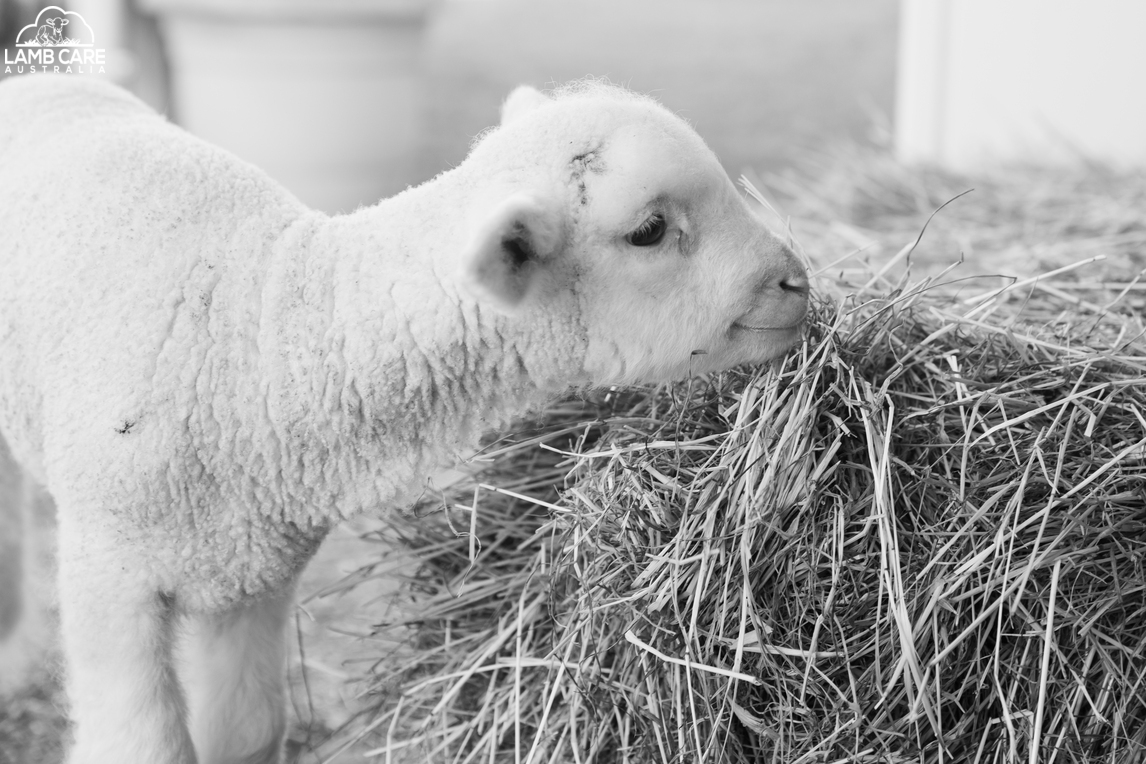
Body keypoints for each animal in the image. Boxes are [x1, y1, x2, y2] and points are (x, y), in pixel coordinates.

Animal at [0, 74, 809, 764]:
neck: (262, 336)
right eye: (649, 230)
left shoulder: (251, 578)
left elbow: (249, 734)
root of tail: (39, 79)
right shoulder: (114, 578)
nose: (797, 281)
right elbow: (142, 747)